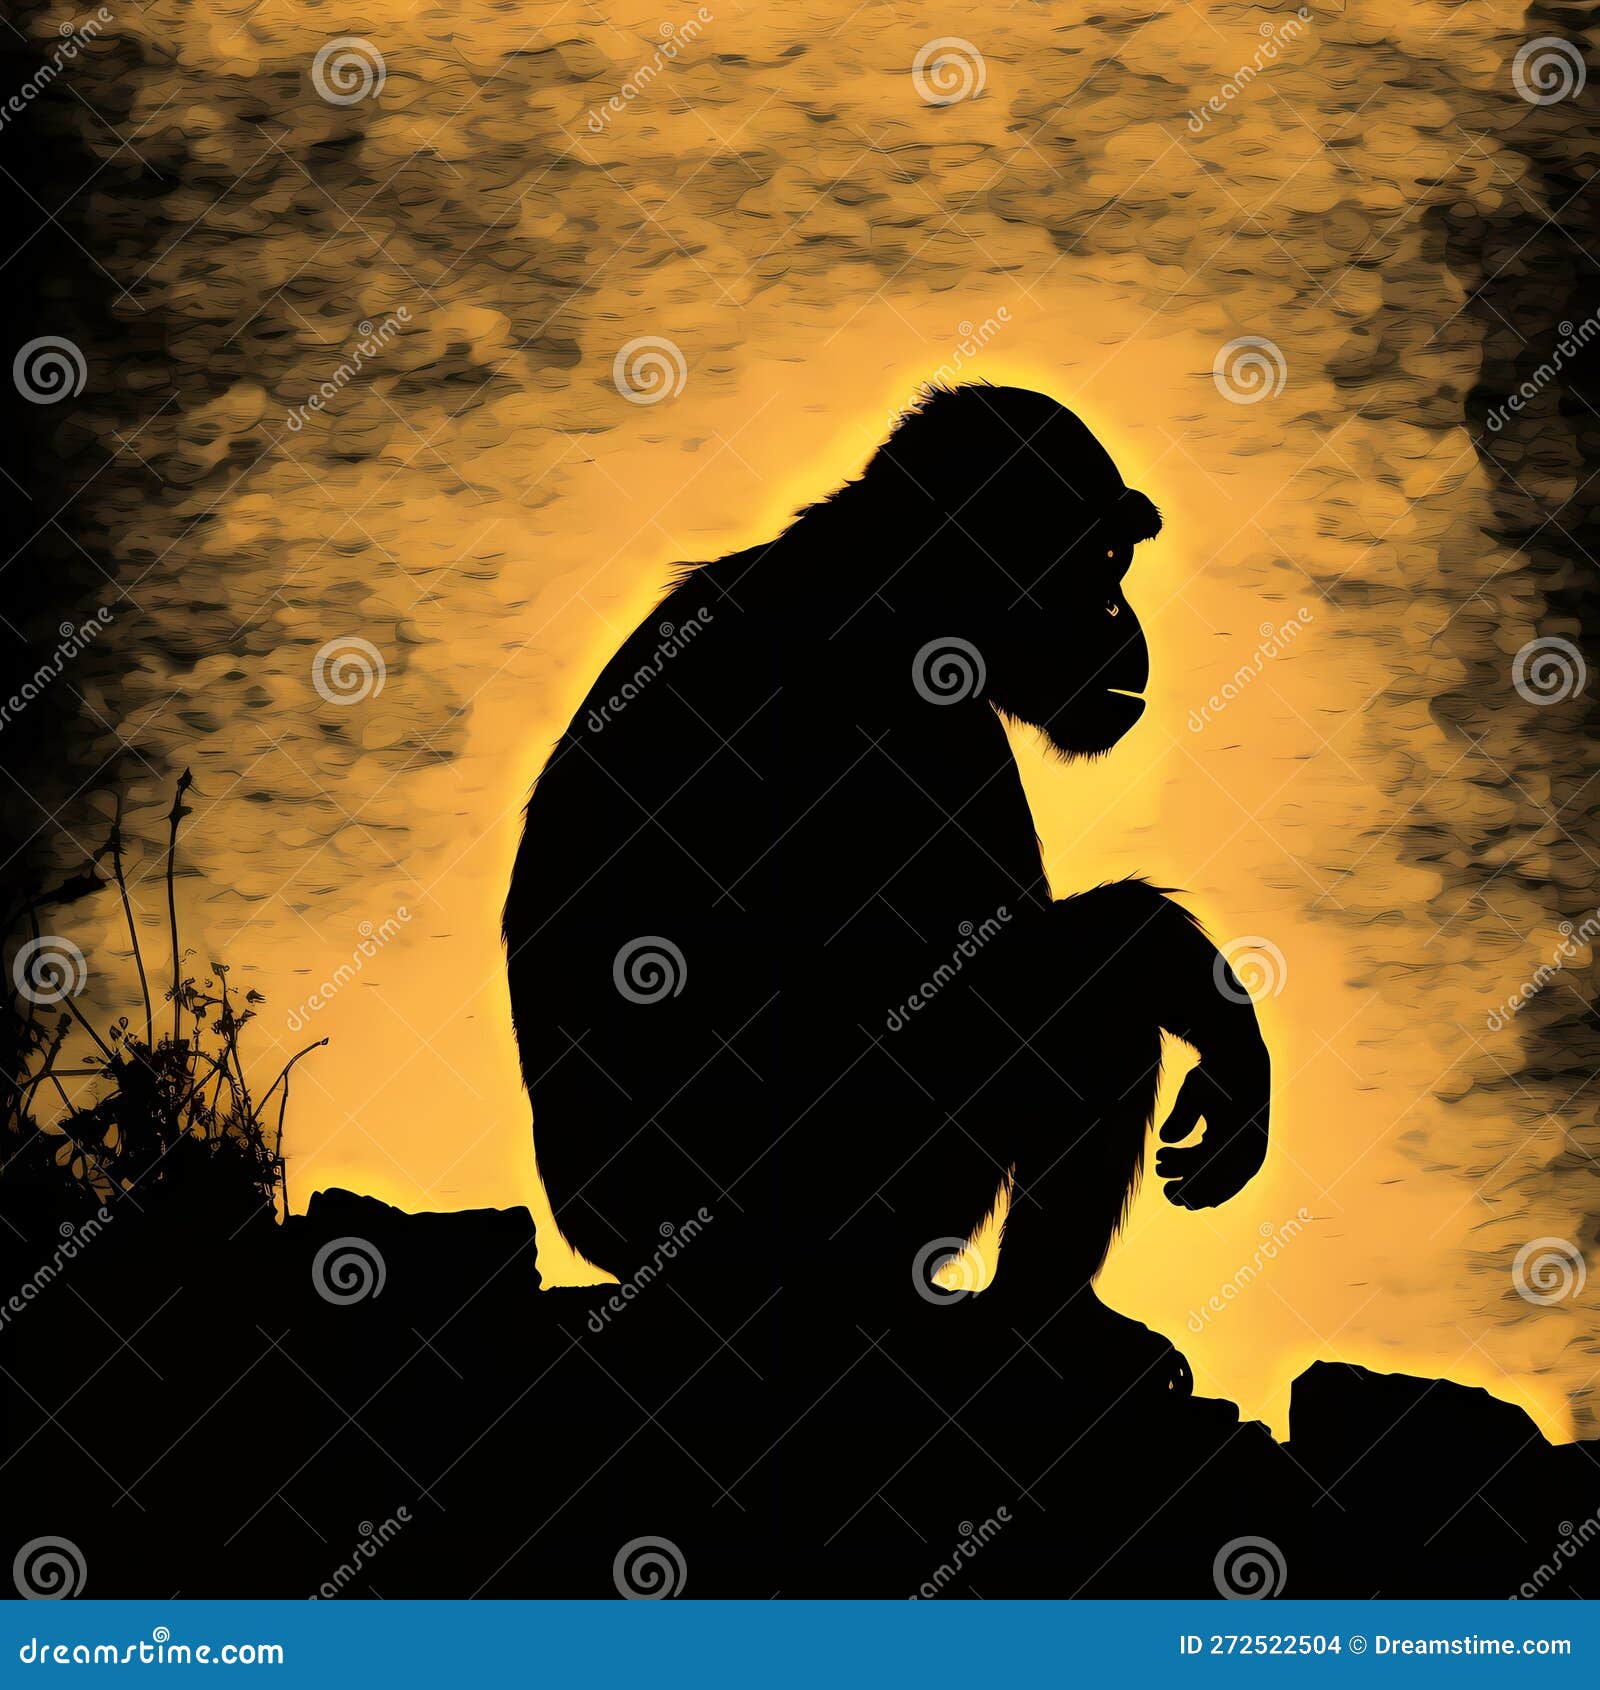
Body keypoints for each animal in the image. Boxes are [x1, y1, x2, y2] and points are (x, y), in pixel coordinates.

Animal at [503, 383, 1270, 1394]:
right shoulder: (912, 715)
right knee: (1081, 998)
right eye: (1101, 558)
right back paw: (1028, 1325)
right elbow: (935, 970)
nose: (1119, 614)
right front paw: (1191, 978)